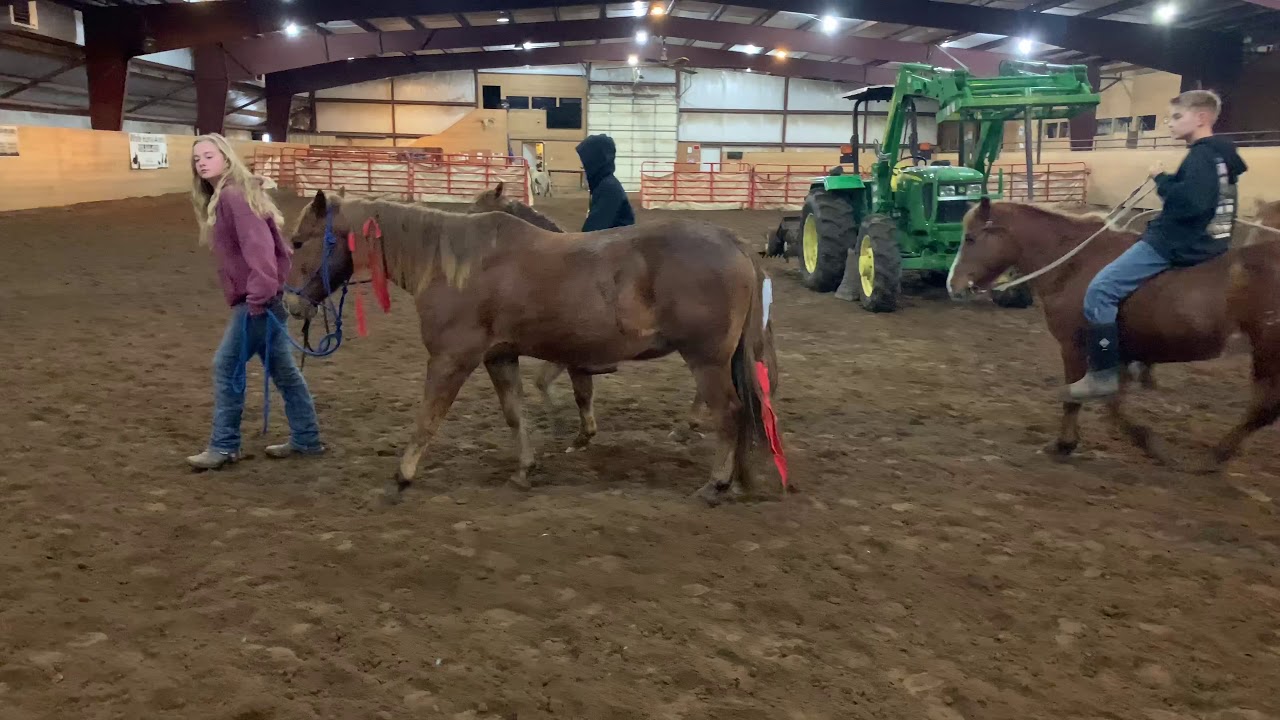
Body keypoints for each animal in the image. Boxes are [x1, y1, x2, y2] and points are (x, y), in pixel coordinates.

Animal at [947, 197, 1280, 469]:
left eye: (970, 238)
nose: (953, 285)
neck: (1074, 264)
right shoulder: (1118, 354)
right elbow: (1113, 402)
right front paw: (1142, 438)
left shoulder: (1075, 346)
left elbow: (1078, 398)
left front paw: (1065, 444)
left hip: (1267, 355)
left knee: (1262, 410)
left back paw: (1214, 456)